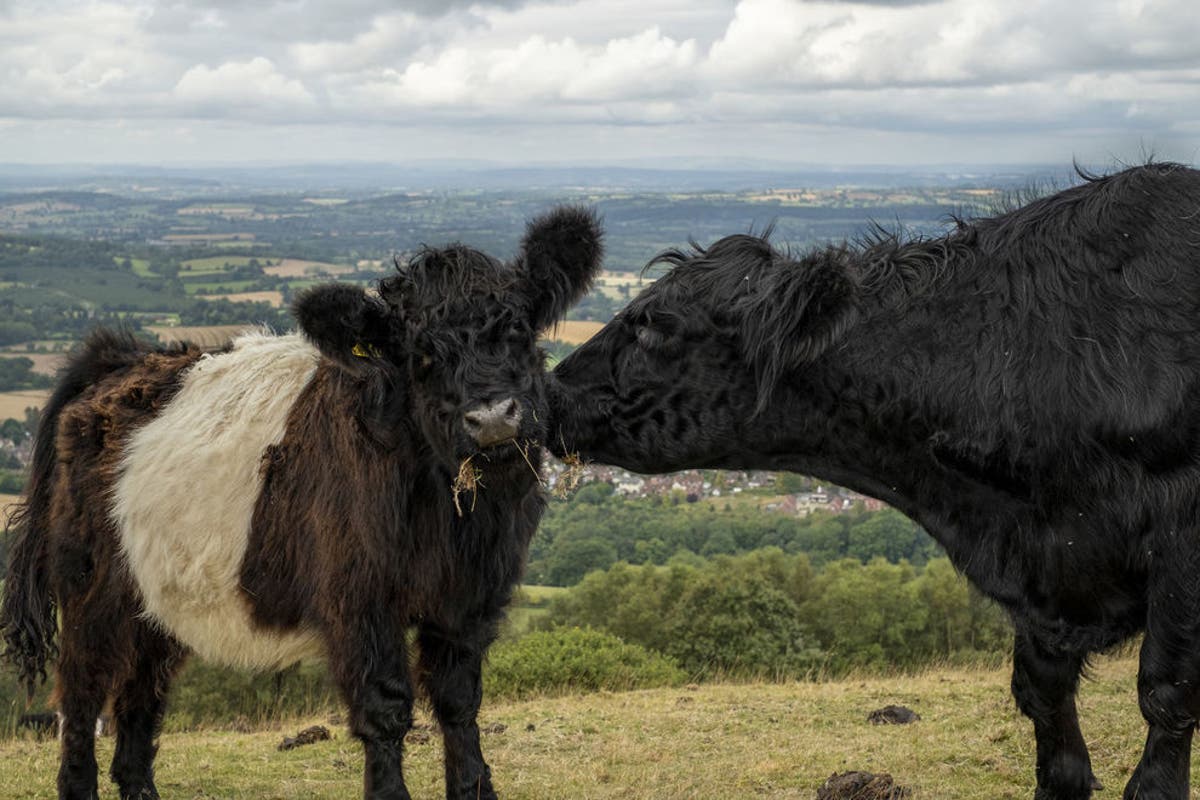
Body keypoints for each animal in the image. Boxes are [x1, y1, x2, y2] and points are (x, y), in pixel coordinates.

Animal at [0, 205, 603, 800]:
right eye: (421, 354)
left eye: (519, 329)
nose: (493, 418)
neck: (450, 519)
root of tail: (119, 359)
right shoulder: (358, 601)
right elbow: (385, 708)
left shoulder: (472, 597)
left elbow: (459, 702)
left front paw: (475, 789)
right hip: (91, 586)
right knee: (81, 691)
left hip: (157, 592)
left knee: (140, 691)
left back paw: (140, 788)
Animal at [547, 163, 1200, 800]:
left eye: (656, 328)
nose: (547, 389)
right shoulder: (1039, 579)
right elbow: (1047, 711)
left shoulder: (1180, 542)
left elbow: (1166, 694)